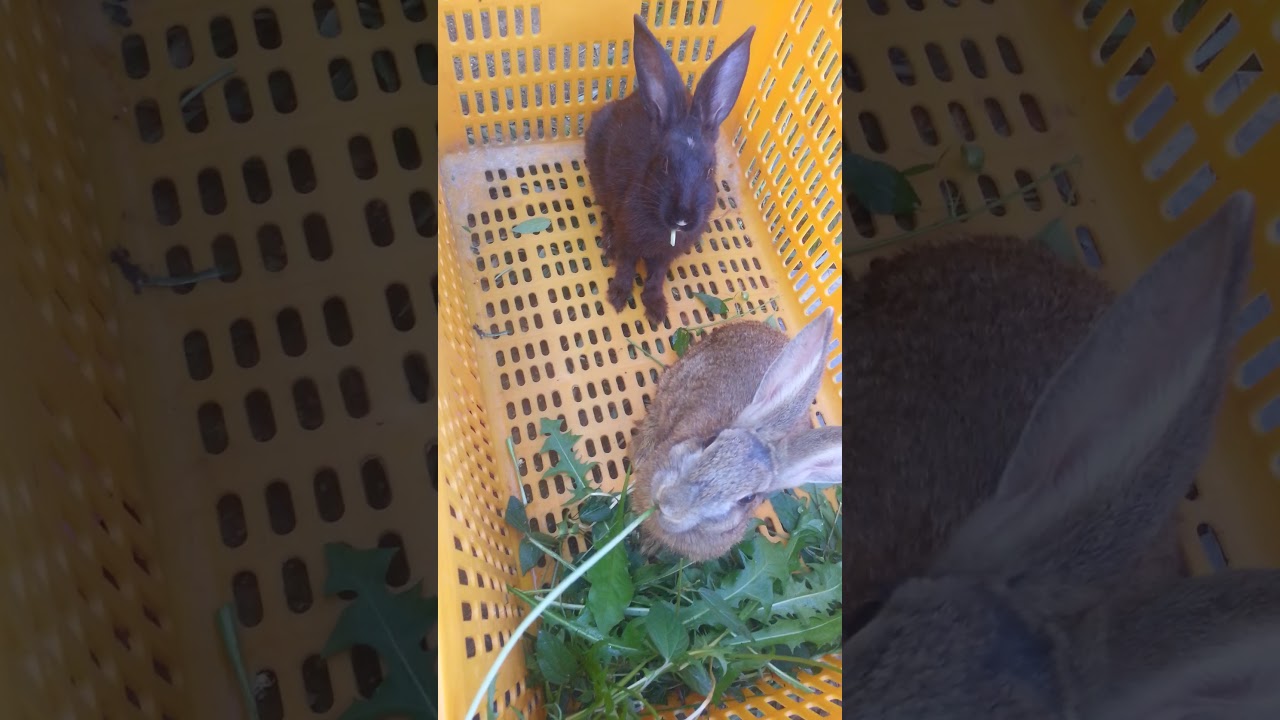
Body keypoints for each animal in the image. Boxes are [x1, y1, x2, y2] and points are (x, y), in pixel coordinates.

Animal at [585, 15, 755, 324]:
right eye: (663, 163)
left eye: (709, 171)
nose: (682, 218)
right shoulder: (630, 240)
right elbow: (625, 267)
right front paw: (618, 297)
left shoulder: (665, 256)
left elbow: (656, 278)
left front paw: (656, 309)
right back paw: (608, 242)